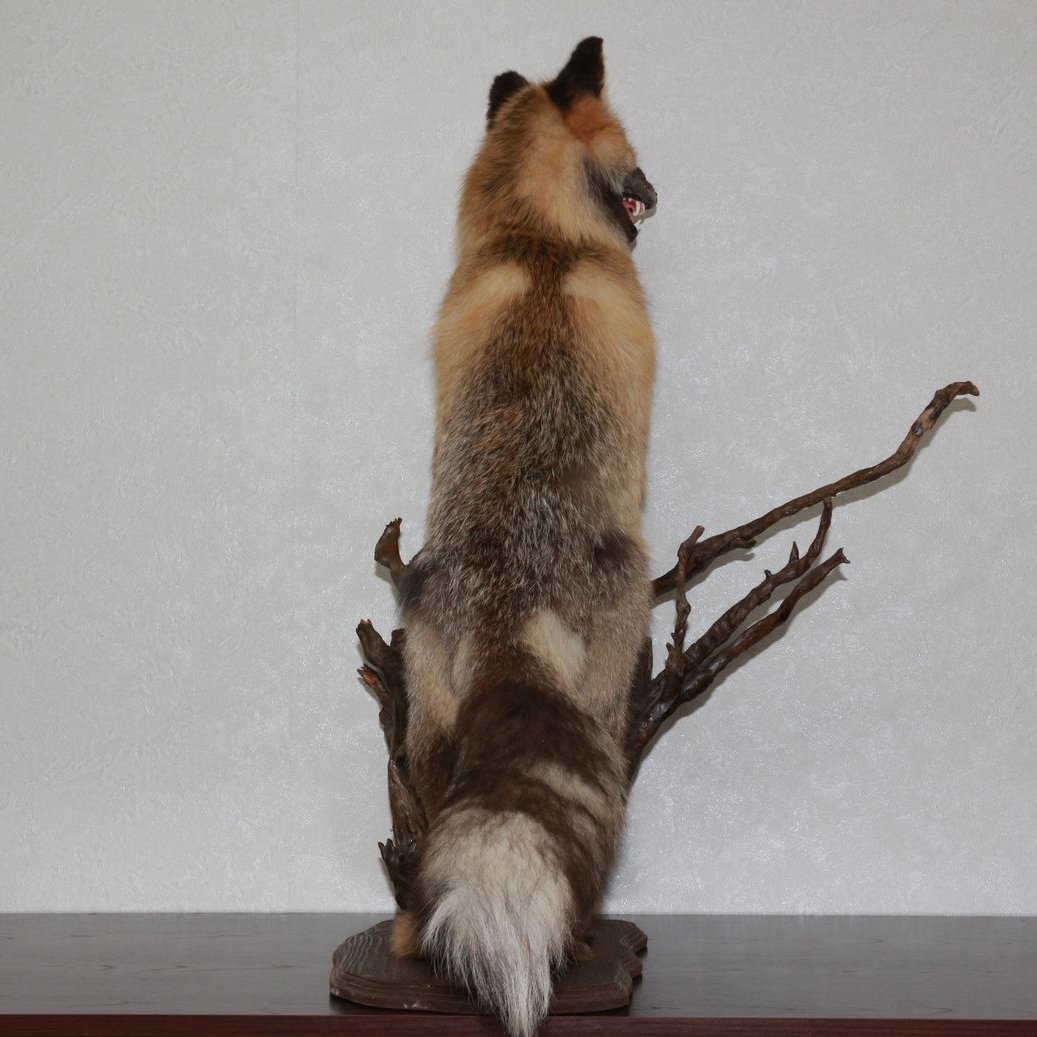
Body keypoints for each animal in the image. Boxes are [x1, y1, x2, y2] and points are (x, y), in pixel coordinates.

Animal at [392, 37, 658, 1037]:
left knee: (427, 840)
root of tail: (513, 608)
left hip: (426, 718)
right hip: (618, 661)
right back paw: (579, 938)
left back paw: (413, 936)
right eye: (631, 154)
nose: (653, 192)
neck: (542, 245)